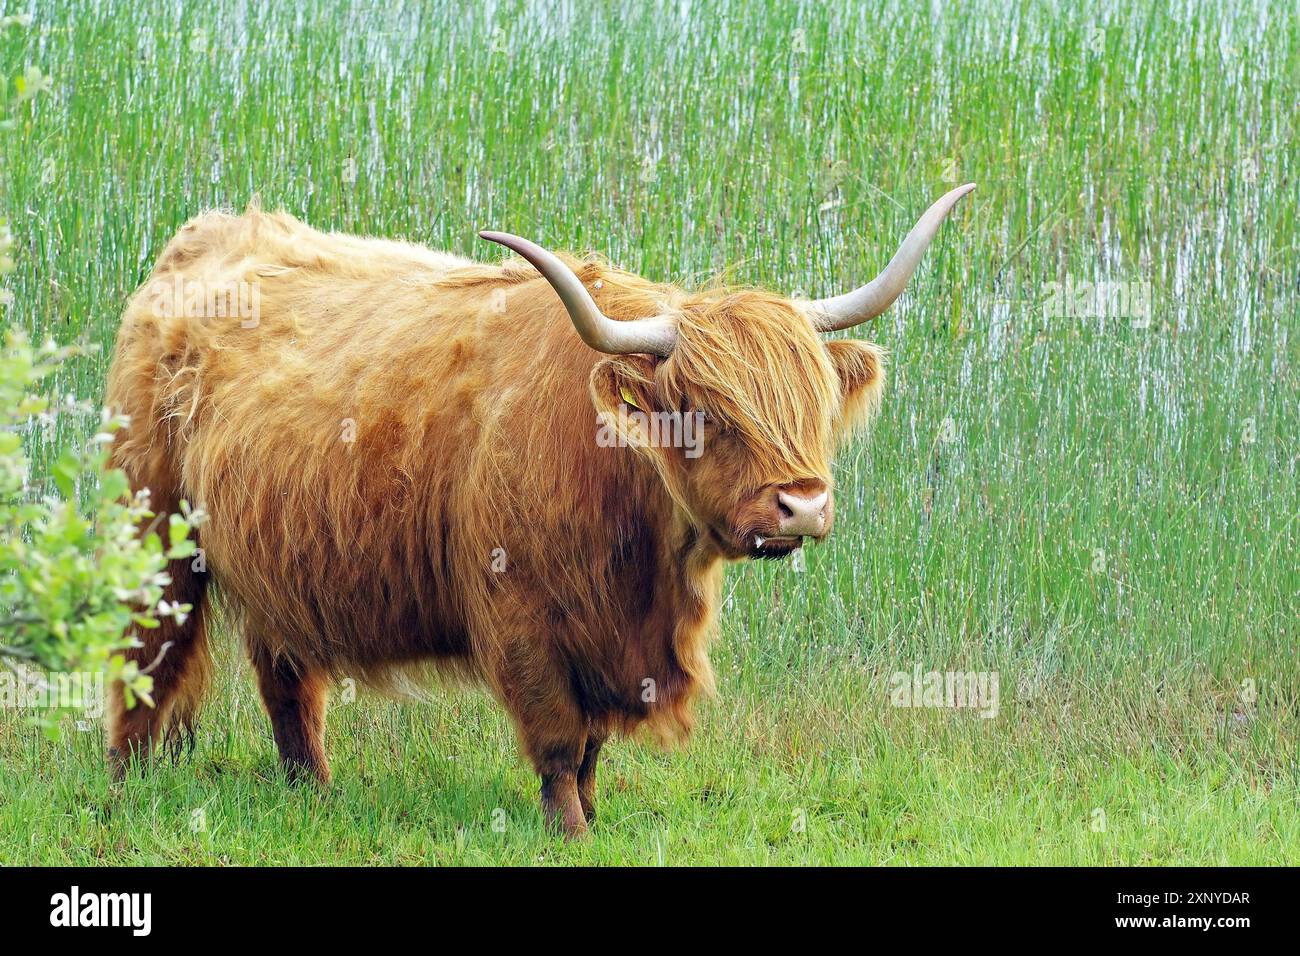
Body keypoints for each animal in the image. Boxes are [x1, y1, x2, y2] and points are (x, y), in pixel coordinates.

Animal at [105, 184, 974, 837]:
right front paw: (570, 831)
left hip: (276, 555)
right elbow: (558, 736)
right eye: (709, 415)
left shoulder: (611, 637)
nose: (803, 506)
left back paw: (312, 792)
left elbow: (592, 746)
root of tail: (201, 238)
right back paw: (128, 784)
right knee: (145, 655)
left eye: (813, 407)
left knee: (286, 681)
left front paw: (592, 813)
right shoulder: (521, 614)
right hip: (153, 530)